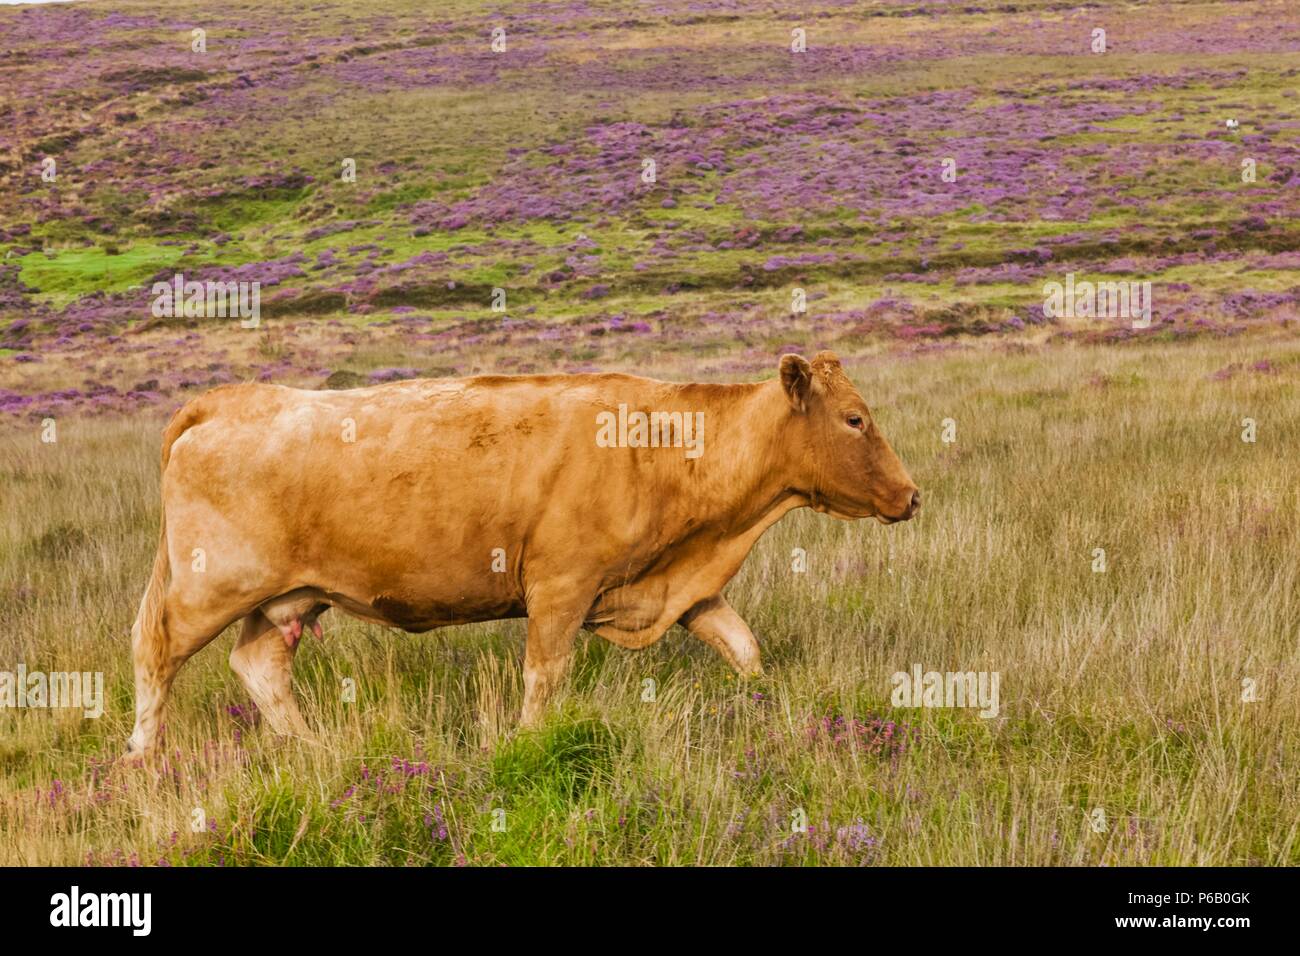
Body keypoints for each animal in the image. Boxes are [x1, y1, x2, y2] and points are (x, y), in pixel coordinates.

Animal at [126, 351, 920, 755]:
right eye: (855, 419)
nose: (912, 496)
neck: (660, 444)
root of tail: (230, 400)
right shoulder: (561, 589)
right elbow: (543, 680)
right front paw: (529, 743)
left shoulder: (681, 588)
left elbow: (745, 647)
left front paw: (769, 712)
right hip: (207, 589)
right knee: (154, 652)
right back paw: (143, 757)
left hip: (286, 598)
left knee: (259, 666)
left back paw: (317, 750)